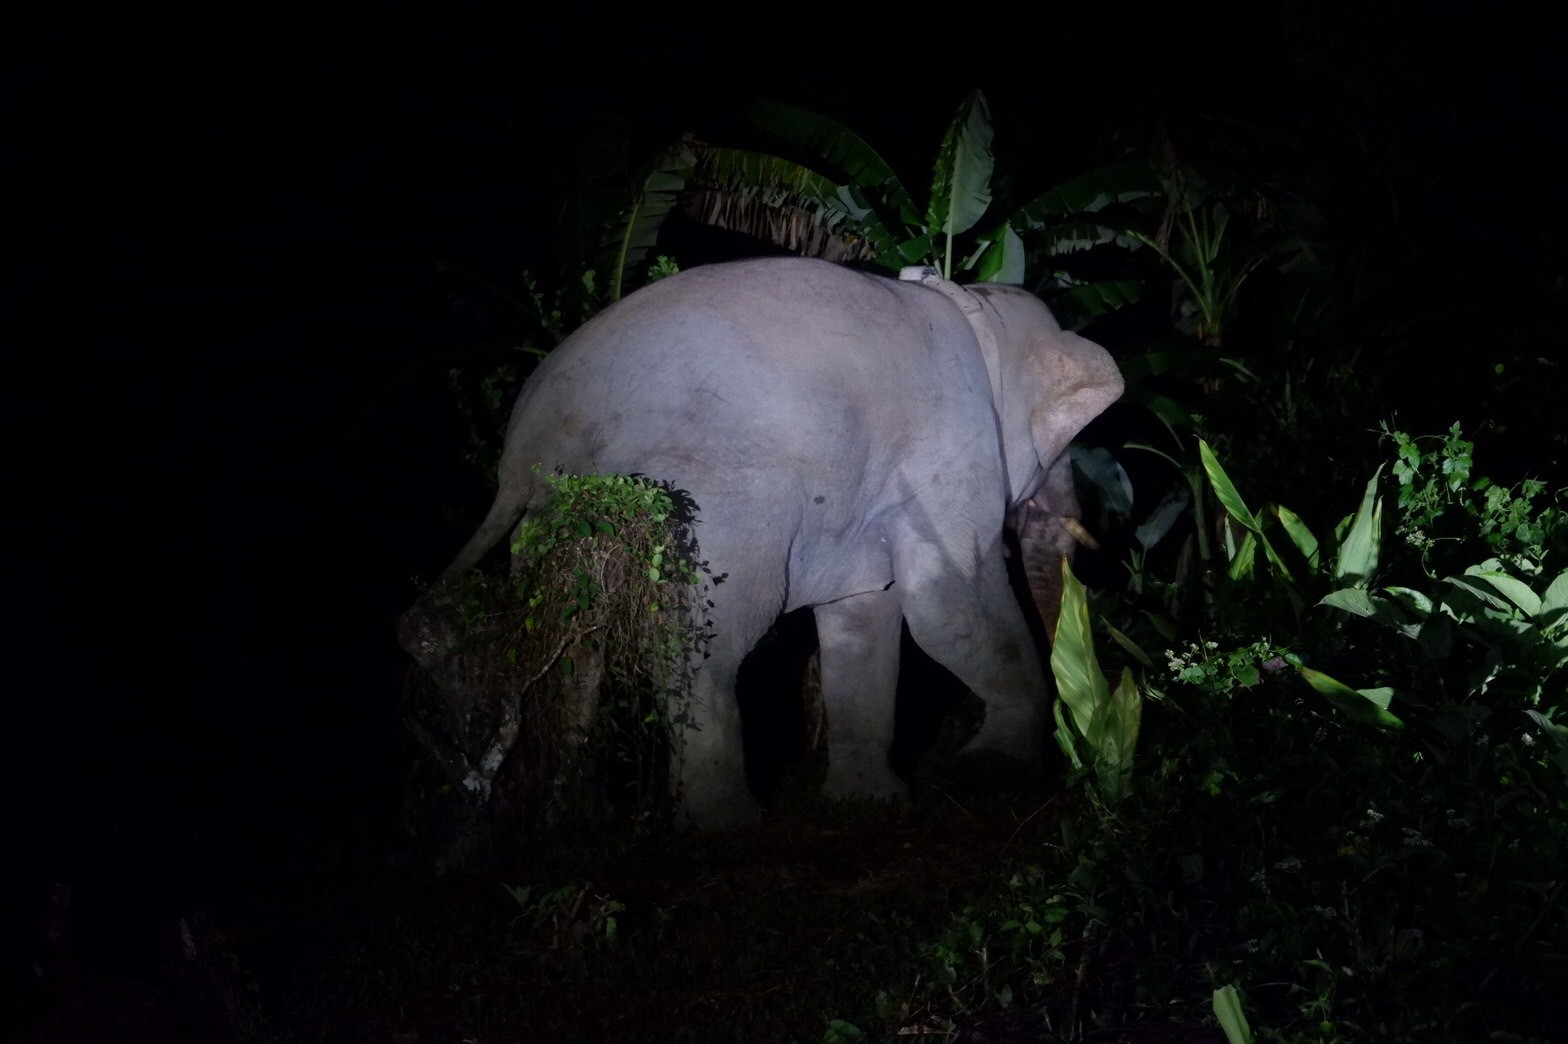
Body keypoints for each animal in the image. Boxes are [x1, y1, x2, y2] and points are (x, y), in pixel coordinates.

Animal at [436, 257, 1123, 829]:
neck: (971, 302)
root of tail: (525, 448)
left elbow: (863, 618)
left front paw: (868, 804)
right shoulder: (952, 446)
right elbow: (946, 605)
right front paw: (996, 772)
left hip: (555, 522)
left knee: (574, 644)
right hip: (712, 501)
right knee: (704, 642)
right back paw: (730, 825)